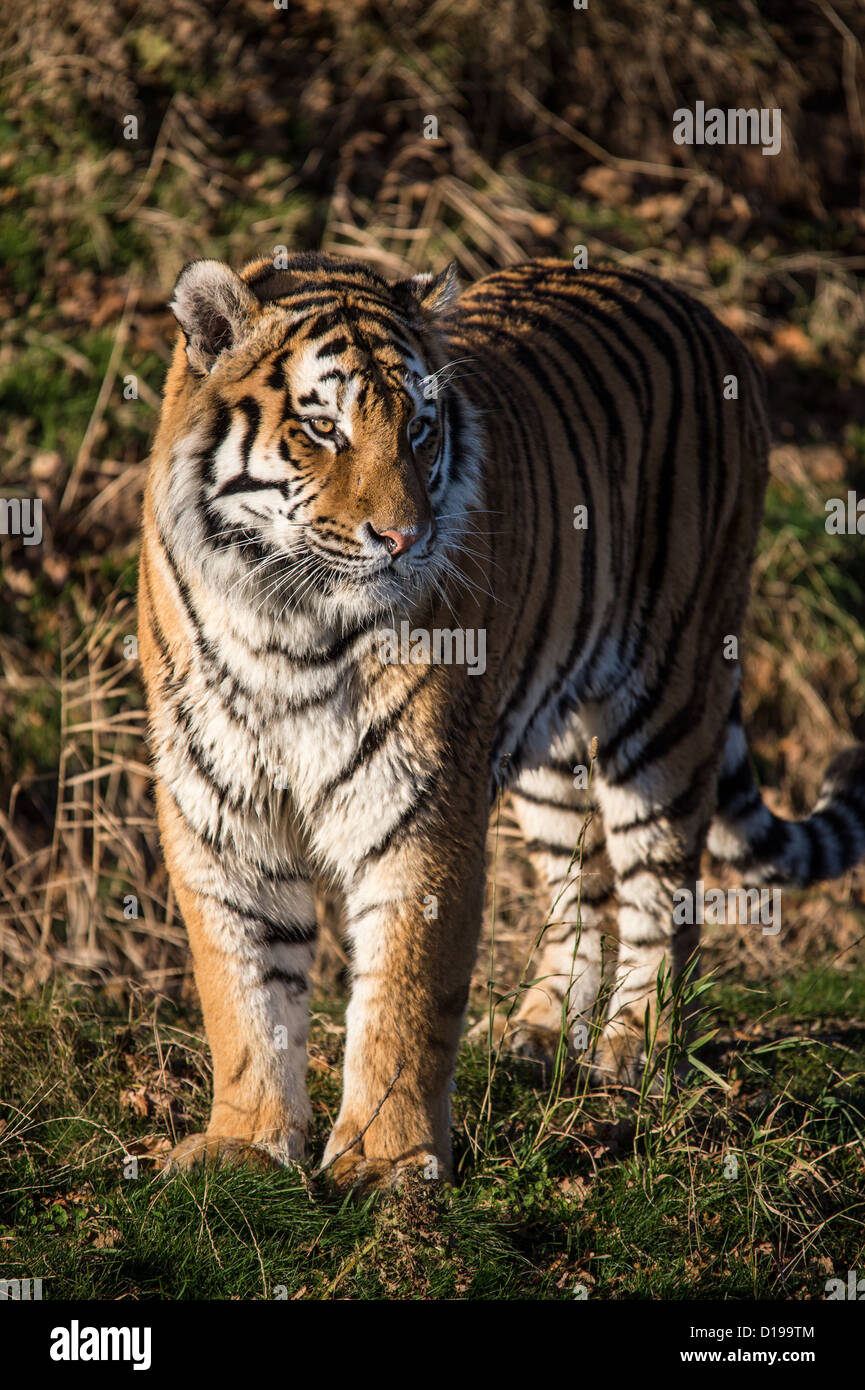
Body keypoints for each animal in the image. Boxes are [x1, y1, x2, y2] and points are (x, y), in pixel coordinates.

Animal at [138, 251, 865, 1189]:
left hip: (668, 702)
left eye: (420, 429)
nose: (403, 539)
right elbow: (245, 996)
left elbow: (403, 998)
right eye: (324, 428)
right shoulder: (219, 807)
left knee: (662, 890)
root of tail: (693, 303)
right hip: (551, 750)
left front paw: (384, 1161)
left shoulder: (416, 807)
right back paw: (541, 1030)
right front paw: (243, 1145)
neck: (285, 621)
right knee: (578, 886)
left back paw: (635, 1047)